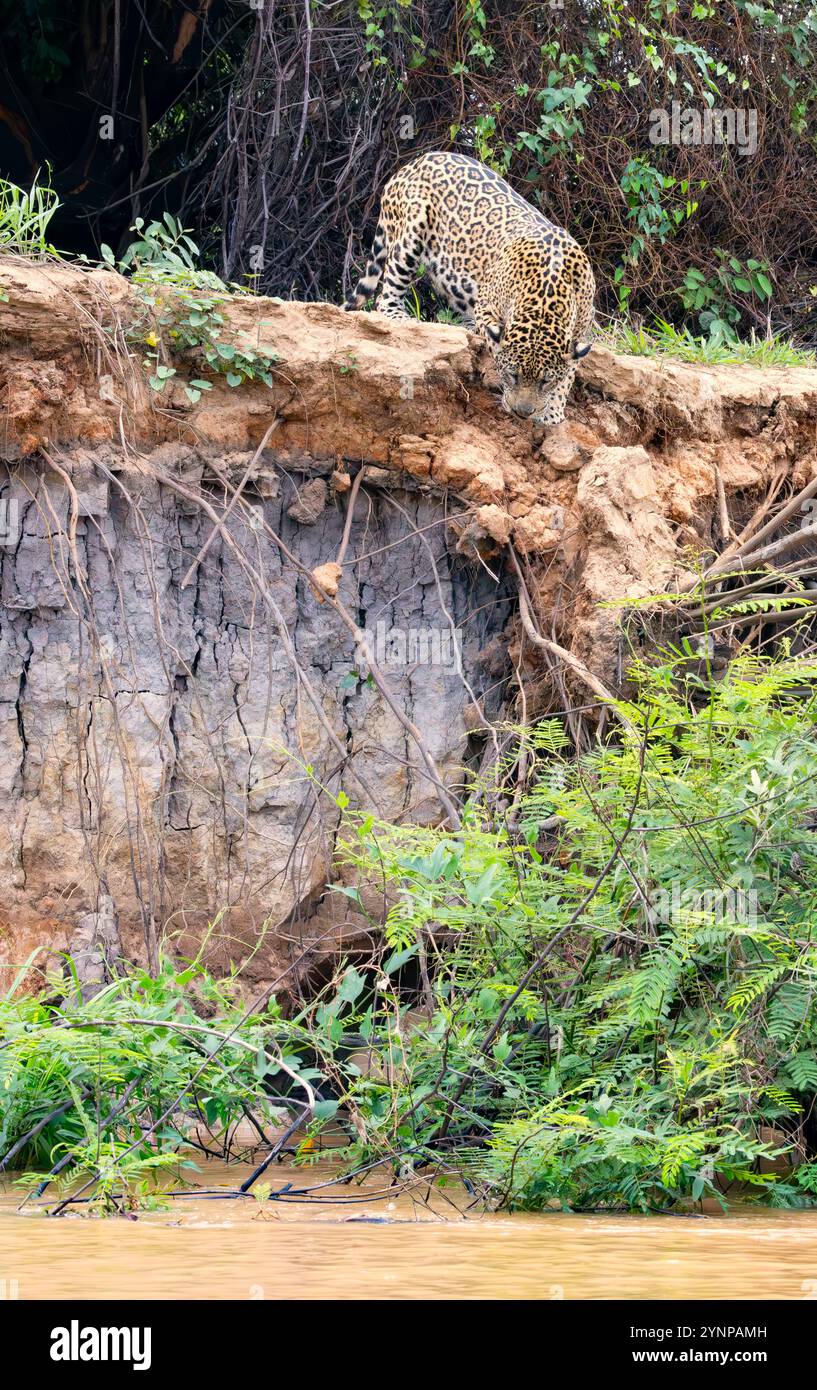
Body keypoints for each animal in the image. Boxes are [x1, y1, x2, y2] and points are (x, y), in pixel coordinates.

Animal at [344, 151, 596, 426]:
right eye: (512, 375)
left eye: (545, 381)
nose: (522, 412)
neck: (546, 295)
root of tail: (412, 163)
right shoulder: (486, 303)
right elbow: (492, 336)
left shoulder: (583, 329)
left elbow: (570, 371)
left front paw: (553, 410)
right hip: (410, 234)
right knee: (386, 294)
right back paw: (399, 315)